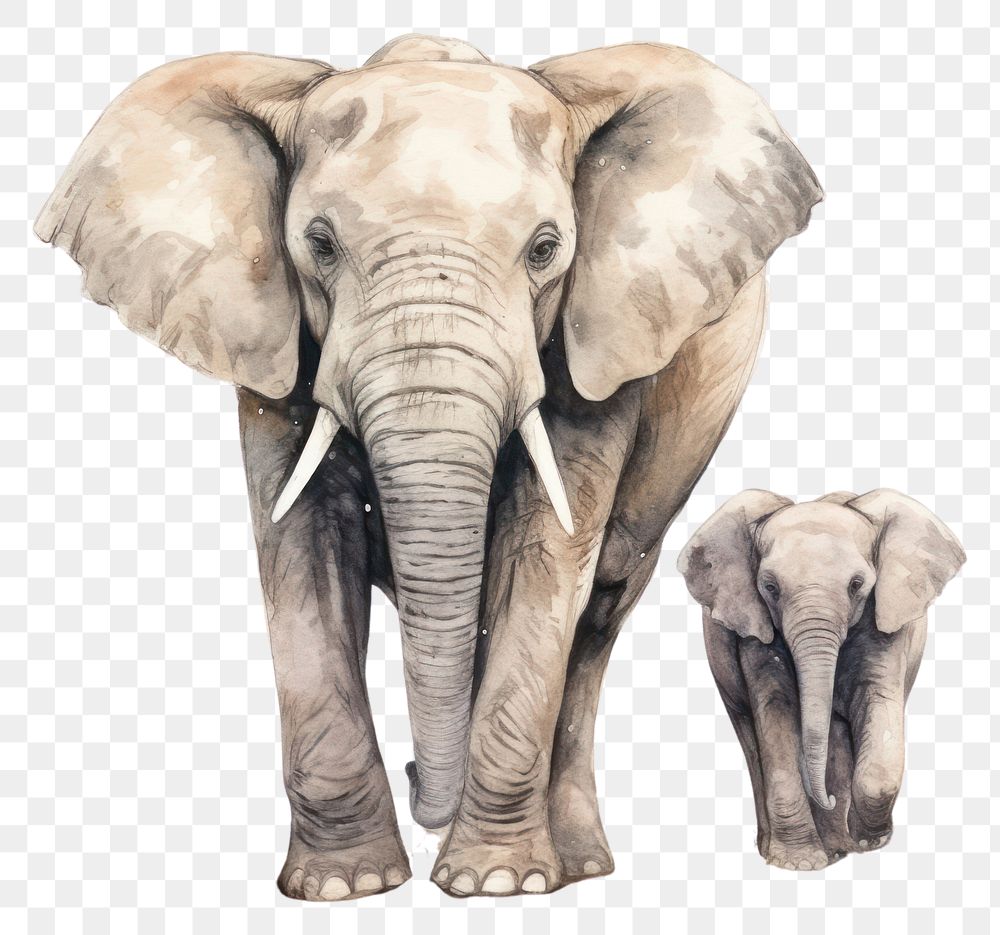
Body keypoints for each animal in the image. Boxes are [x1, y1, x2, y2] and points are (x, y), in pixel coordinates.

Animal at [34, 34, 822, 898]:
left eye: (546, 249)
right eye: (319, 243)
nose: (424, 789)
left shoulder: (602, 337)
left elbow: (544, 546)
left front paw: (495, 883)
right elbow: (304, 540)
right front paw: (345, 886)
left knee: (600, 606)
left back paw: (577, 865)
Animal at [678, 489, 965, 869]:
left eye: (857, 584)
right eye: (770, 587)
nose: (825, 796)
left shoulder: (885, 621)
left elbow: (877, 702)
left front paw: (870, 841)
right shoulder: (754, 627)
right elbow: (777, 709)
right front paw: (800, 863)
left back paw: (843, 846)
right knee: (751, 737)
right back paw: (809, 850)